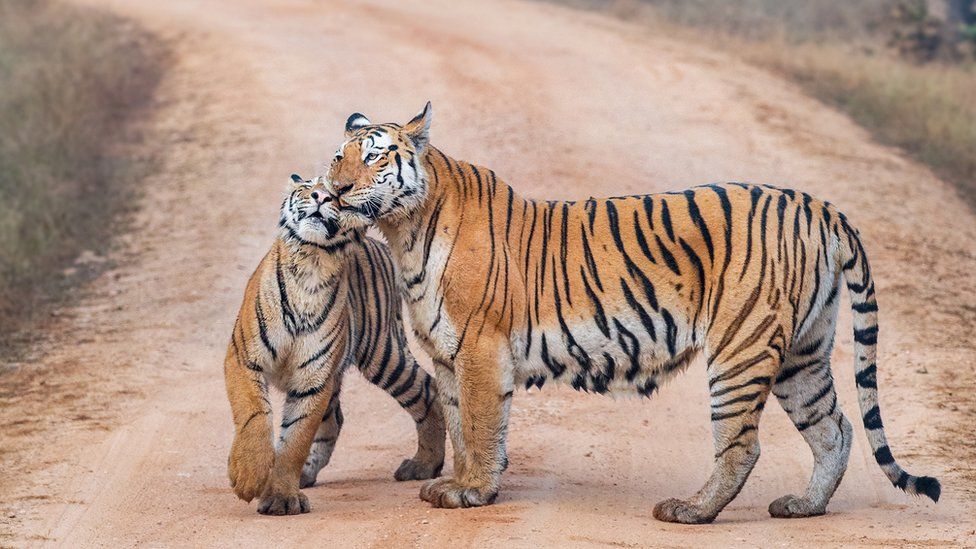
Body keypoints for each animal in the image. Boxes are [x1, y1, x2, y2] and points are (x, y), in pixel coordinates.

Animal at [223, 174, 445, 515]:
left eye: (336, 193)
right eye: (308, 187)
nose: (321, 197)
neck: (312, 263)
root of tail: (379, 245)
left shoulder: (314, 379)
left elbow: (296, 439)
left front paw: (281, 496)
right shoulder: (244, 357)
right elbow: (254, 414)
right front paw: (249, 475)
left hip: (383, 354)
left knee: (427, 388)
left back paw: (423, 465)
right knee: (335, 420)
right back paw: (307, 473)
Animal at [321, 103, 941, 523]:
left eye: (374, 157)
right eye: (337, 157)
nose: (337, 190)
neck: (403, 230)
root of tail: (817, 205)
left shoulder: (479, 348)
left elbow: (477, 423)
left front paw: (471, 490)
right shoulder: (449, 353)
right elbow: (458, 421)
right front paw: (460, 482)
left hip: (741, 348)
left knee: (743, 443)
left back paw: (691, 510)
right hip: (803, 353)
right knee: (835, 427)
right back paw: (803, 505)